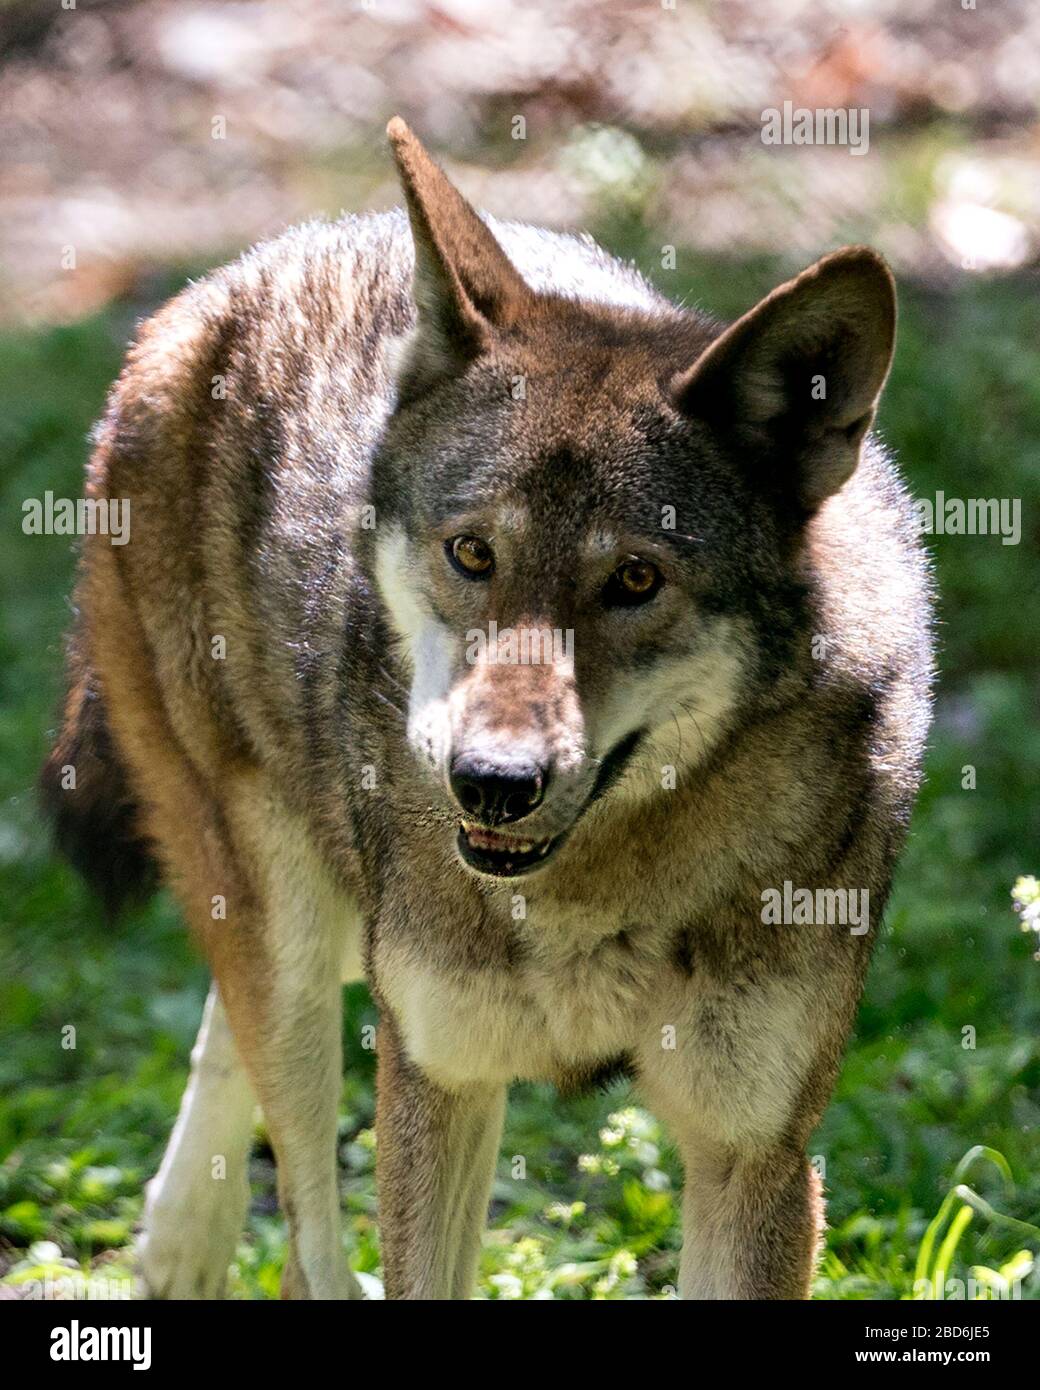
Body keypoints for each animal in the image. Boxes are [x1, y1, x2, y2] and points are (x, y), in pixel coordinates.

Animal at [40, 118, 932, 1300]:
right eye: (472, 552)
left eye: (635, 579)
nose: (491, 785)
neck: (597, 891)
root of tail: (214, 289)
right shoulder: (440, 1077)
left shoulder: (755, 1154)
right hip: (296, 943)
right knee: (307, 1227)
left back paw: (178, 1244)